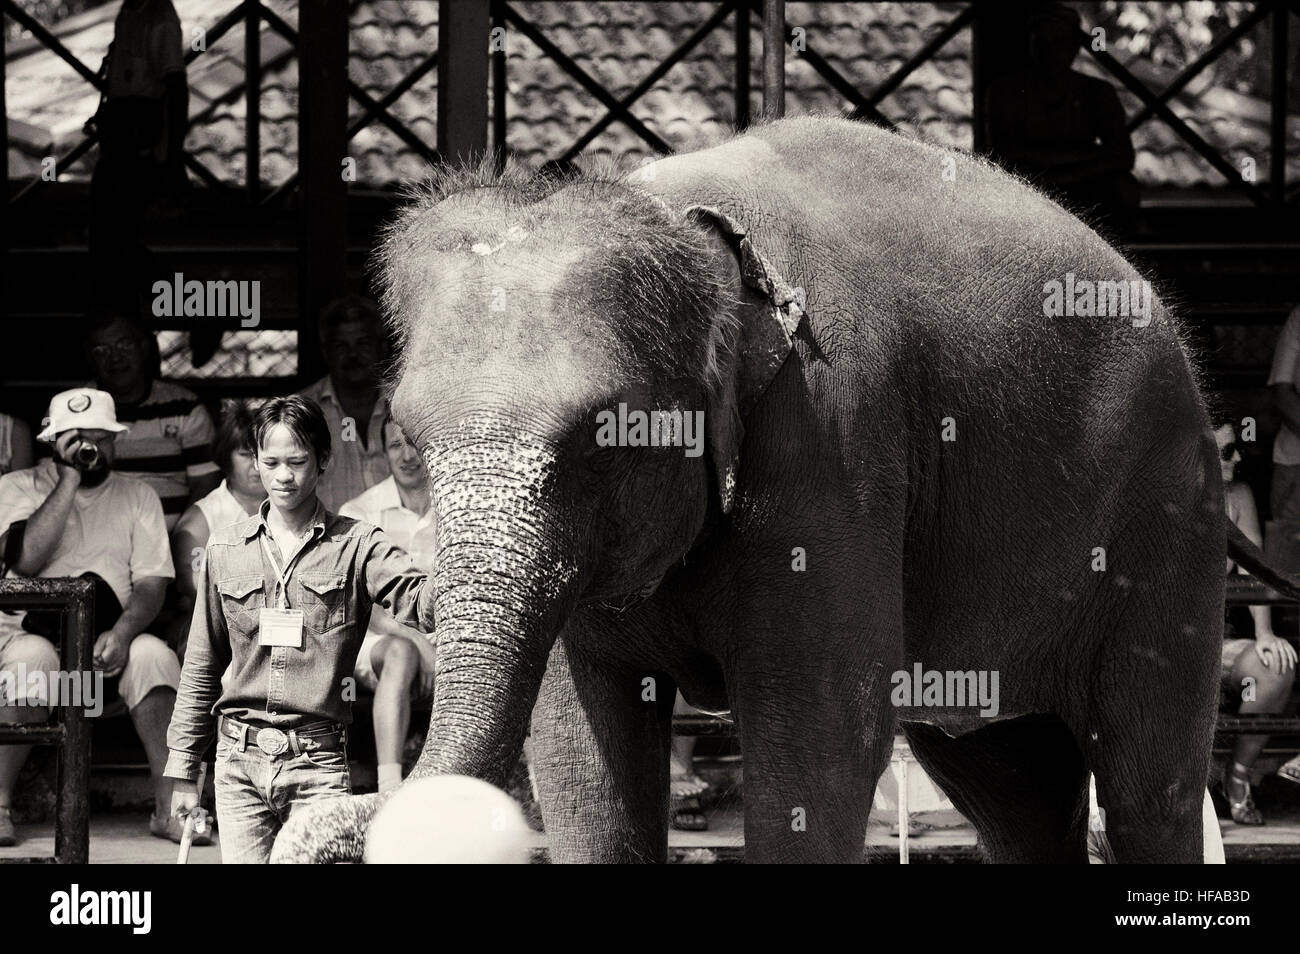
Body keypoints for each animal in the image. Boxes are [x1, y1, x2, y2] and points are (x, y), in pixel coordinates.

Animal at [272, 115, 1287, 864]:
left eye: (600, 437)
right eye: (408, 436)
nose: (348, 817)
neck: (677, 214)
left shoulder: (830, 440)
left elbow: (820, 747)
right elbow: (582, 760)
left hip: (1168, 521)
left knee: (1145, 781)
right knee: (1011, 786)